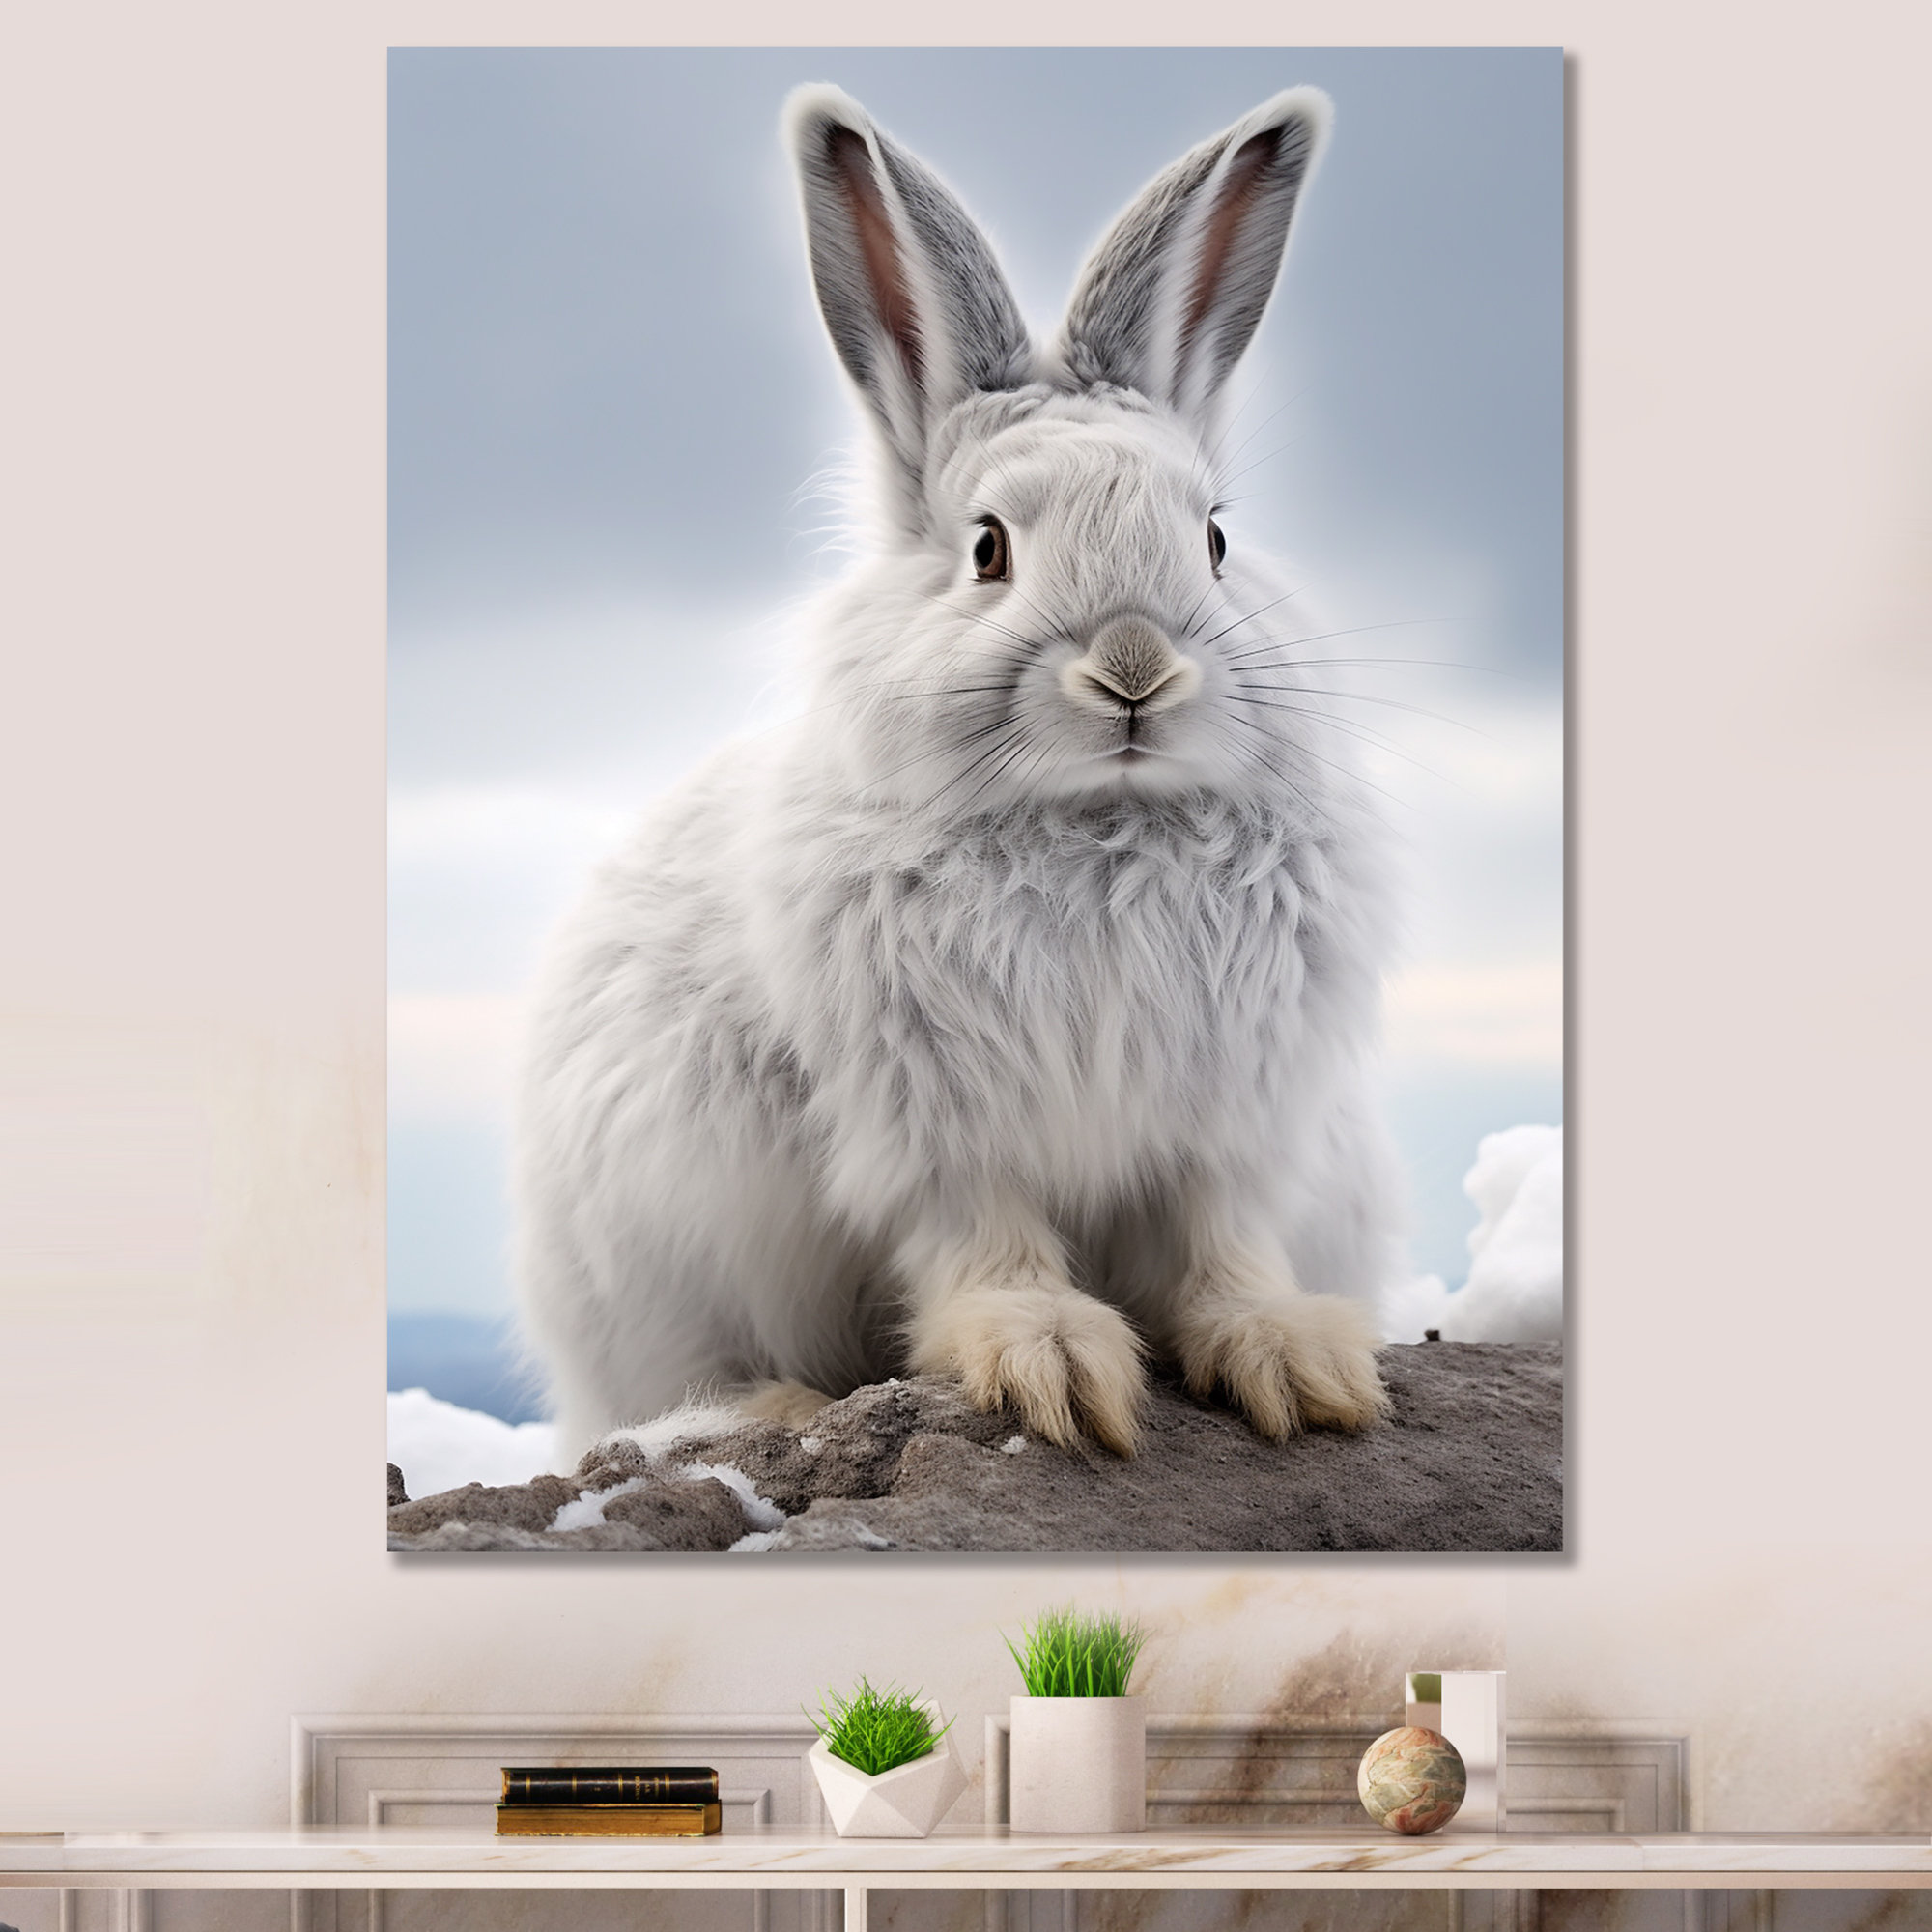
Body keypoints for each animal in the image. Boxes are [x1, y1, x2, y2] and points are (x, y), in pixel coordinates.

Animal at [514, 82, 1405, 1465]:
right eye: (988, 548)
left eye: (1212, 540)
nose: (1135, 669)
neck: (1099, 825)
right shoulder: (932, 1126)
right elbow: (986, 1243)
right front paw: (1052, 1368)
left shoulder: (1224, 1127)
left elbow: (1217, 1251)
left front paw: (1295, 1362)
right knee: (664, 1392)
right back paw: (770, 1405)